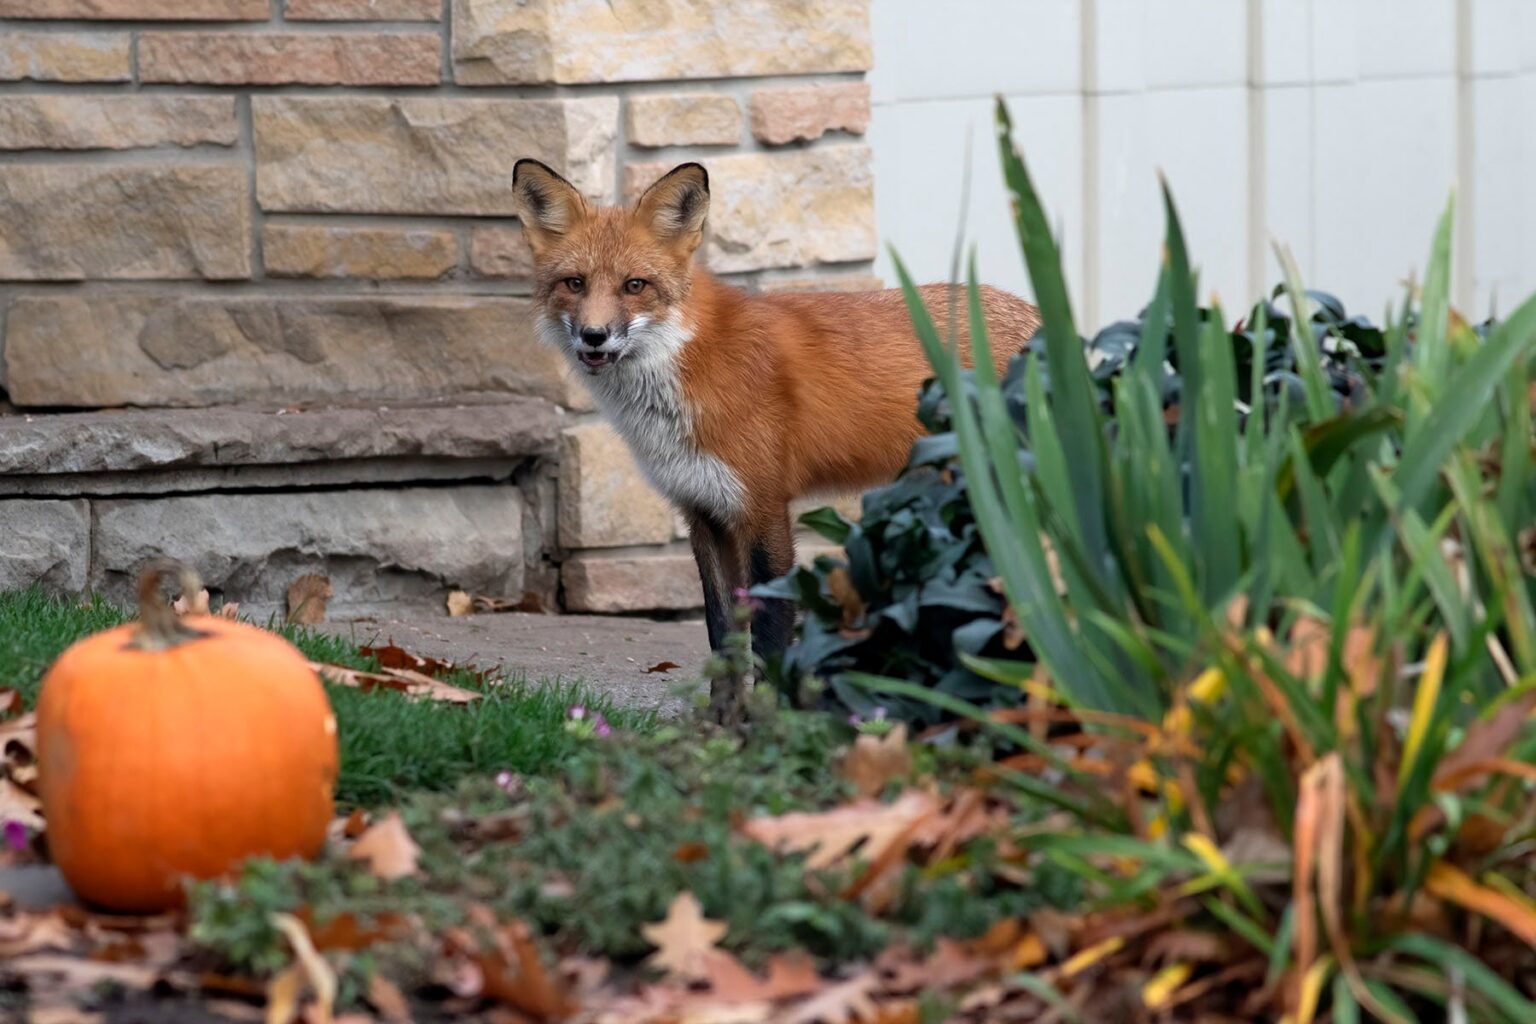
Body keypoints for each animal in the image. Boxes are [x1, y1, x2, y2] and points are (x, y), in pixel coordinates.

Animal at [512, 159, 1042, 722]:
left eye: (635, 285)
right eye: (574, 282)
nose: (594, 336)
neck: (690, 366)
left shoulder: (763, 507)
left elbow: (769, 633)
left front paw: (767, 723)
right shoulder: (703, 511)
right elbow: (721, 632)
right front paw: (720, 722)